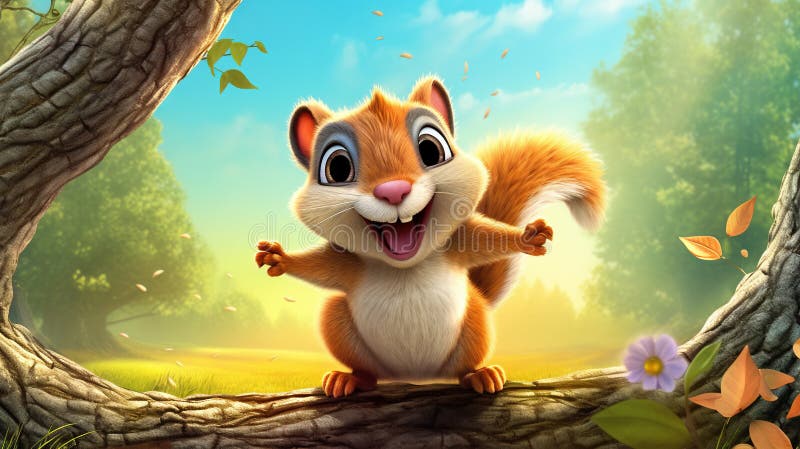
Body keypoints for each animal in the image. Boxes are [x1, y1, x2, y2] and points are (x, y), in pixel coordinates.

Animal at [256, 76, 606, 397]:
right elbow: (320, 266)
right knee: (367, 371)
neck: (406, 266)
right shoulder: (348, 262)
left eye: (431, 149)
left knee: (463, 367)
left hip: (475, 324)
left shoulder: (459, 242)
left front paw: (529, 237)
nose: (393, 190)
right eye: (337, 167)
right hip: (338, 322)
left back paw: (480, 374)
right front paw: (278, 257)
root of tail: (416, 374)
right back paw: (349, 379)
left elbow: (488, 239)